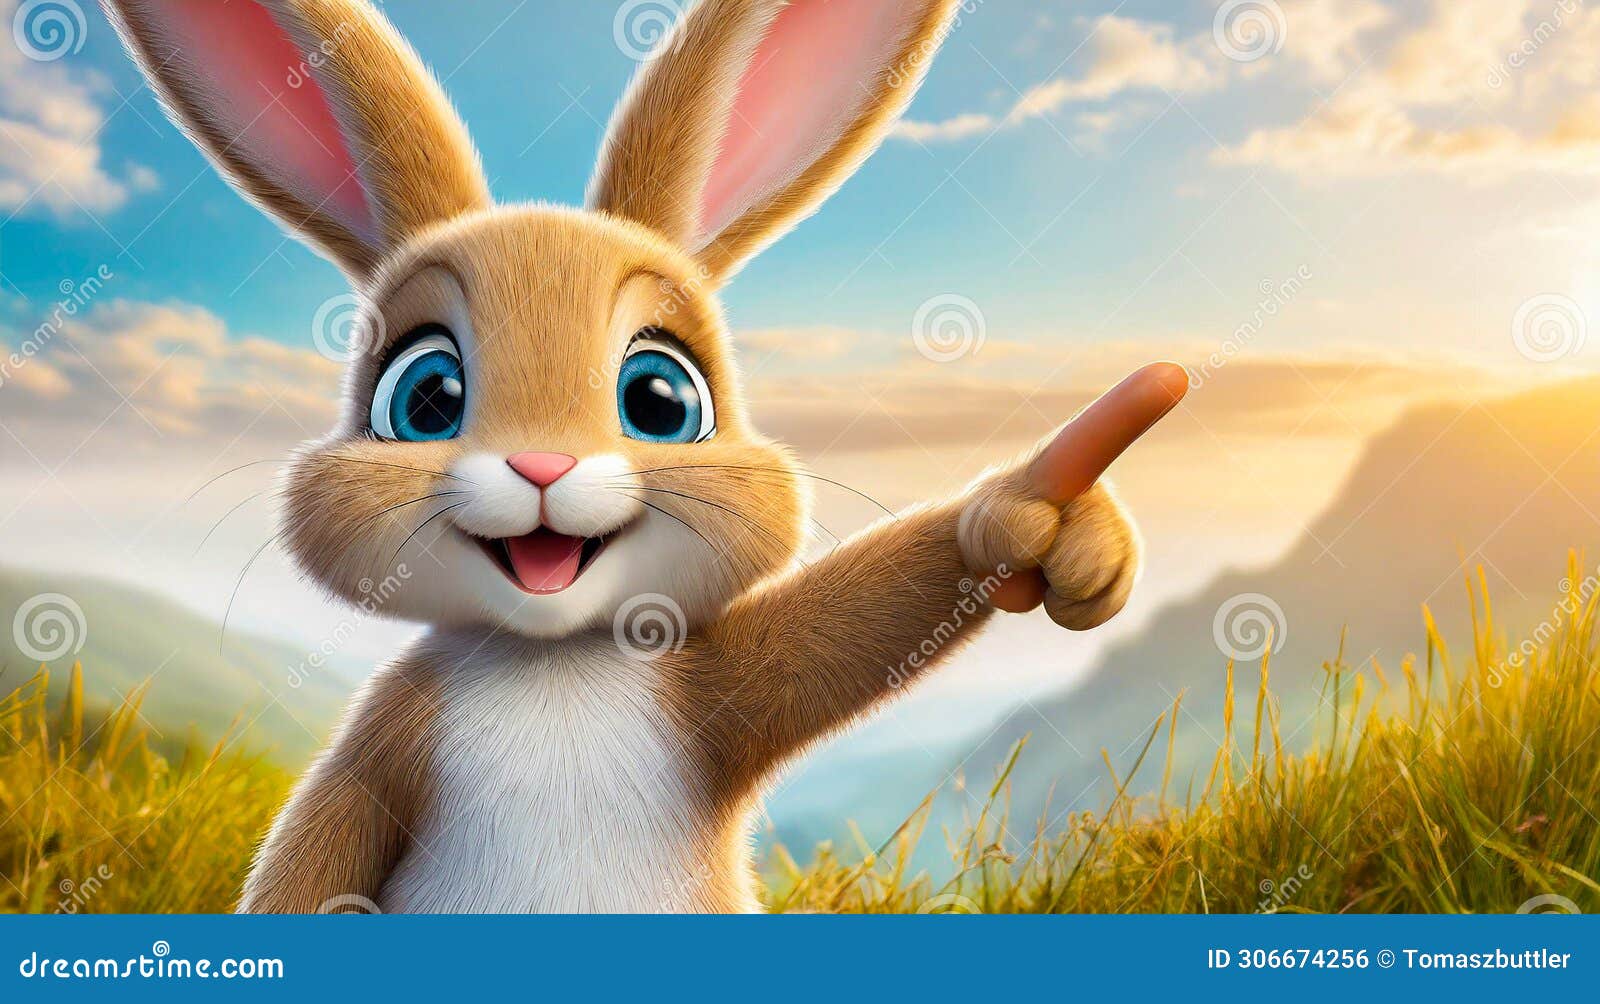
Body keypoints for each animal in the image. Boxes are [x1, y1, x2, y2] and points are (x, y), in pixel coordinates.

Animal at [105, 0, 1187, 913]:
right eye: (426, 397)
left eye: (660, 398)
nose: (542, 466)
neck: (553, 660)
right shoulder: (390, 730)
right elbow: (320, 836)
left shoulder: (714, 689)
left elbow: (841, 637)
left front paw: (1038, 516)